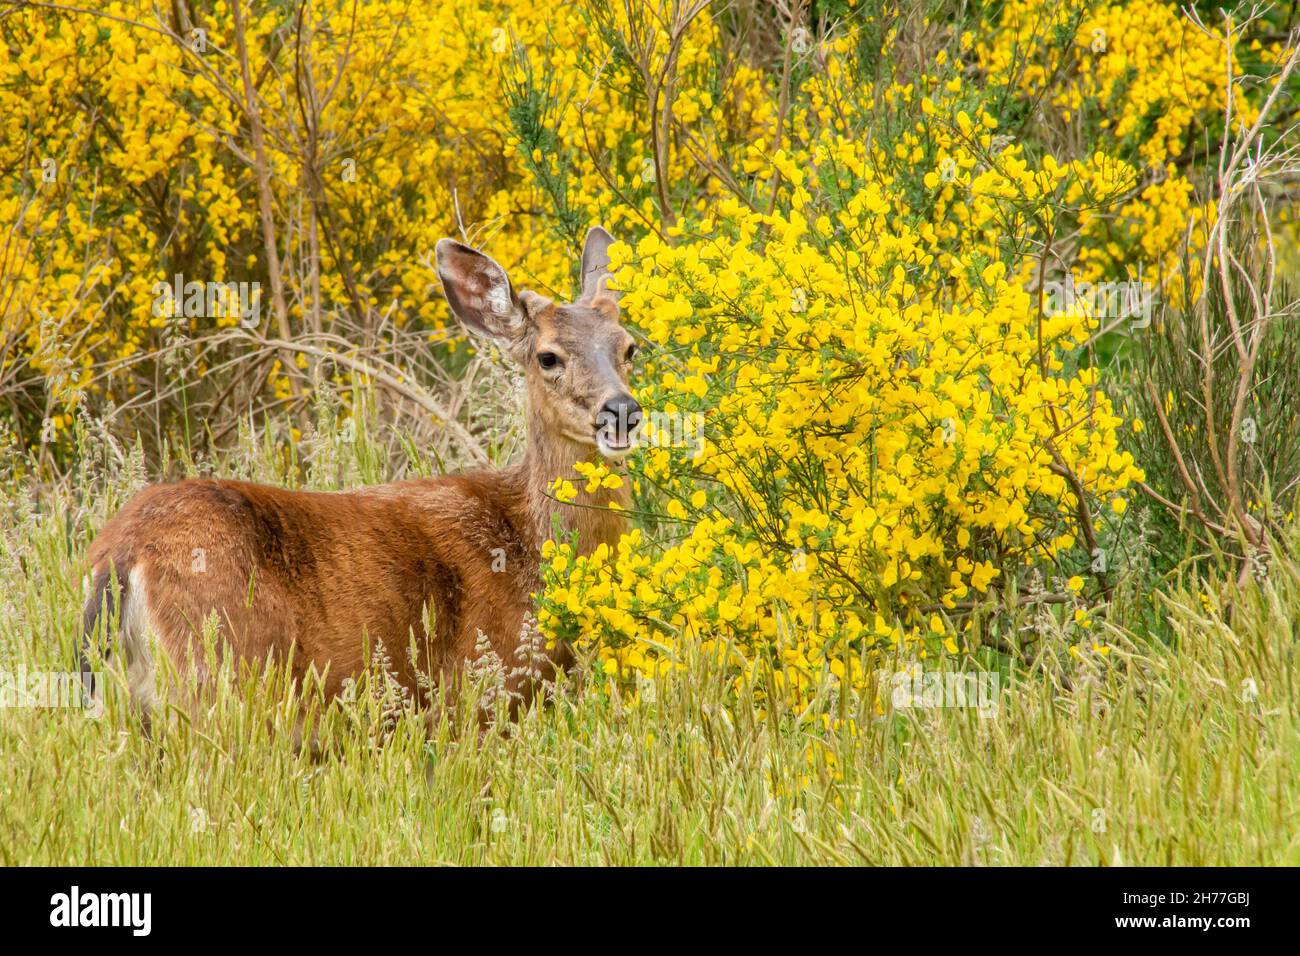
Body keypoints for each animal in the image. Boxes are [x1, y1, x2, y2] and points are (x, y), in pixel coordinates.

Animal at [80, 226, 641, 732]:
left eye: (629, 347)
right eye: (548, 356)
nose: (623, 412)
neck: (527, 538)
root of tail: (120, 554)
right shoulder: (480, 695)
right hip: (221, 676)